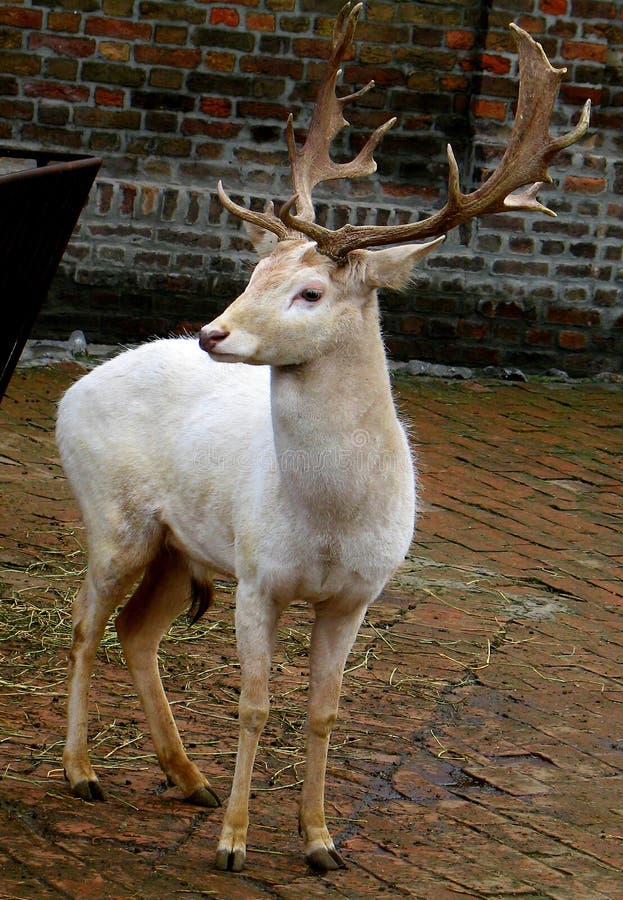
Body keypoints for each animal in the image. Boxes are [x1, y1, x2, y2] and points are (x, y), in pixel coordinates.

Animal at [55, 2, 589, 874]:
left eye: (308, 291)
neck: (330, 518)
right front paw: (234, 843)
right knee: (83, 624)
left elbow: (322, 712)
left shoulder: (357, 595)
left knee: (135, 632)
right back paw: (82, 773)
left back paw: (187, 779)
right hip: (114, 518)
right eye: (253, 276)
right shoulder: (260, 576)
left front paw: (318, 841)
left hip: (182, 546)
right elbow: (253, 705)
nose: (212, 332)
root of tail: (76, 388)